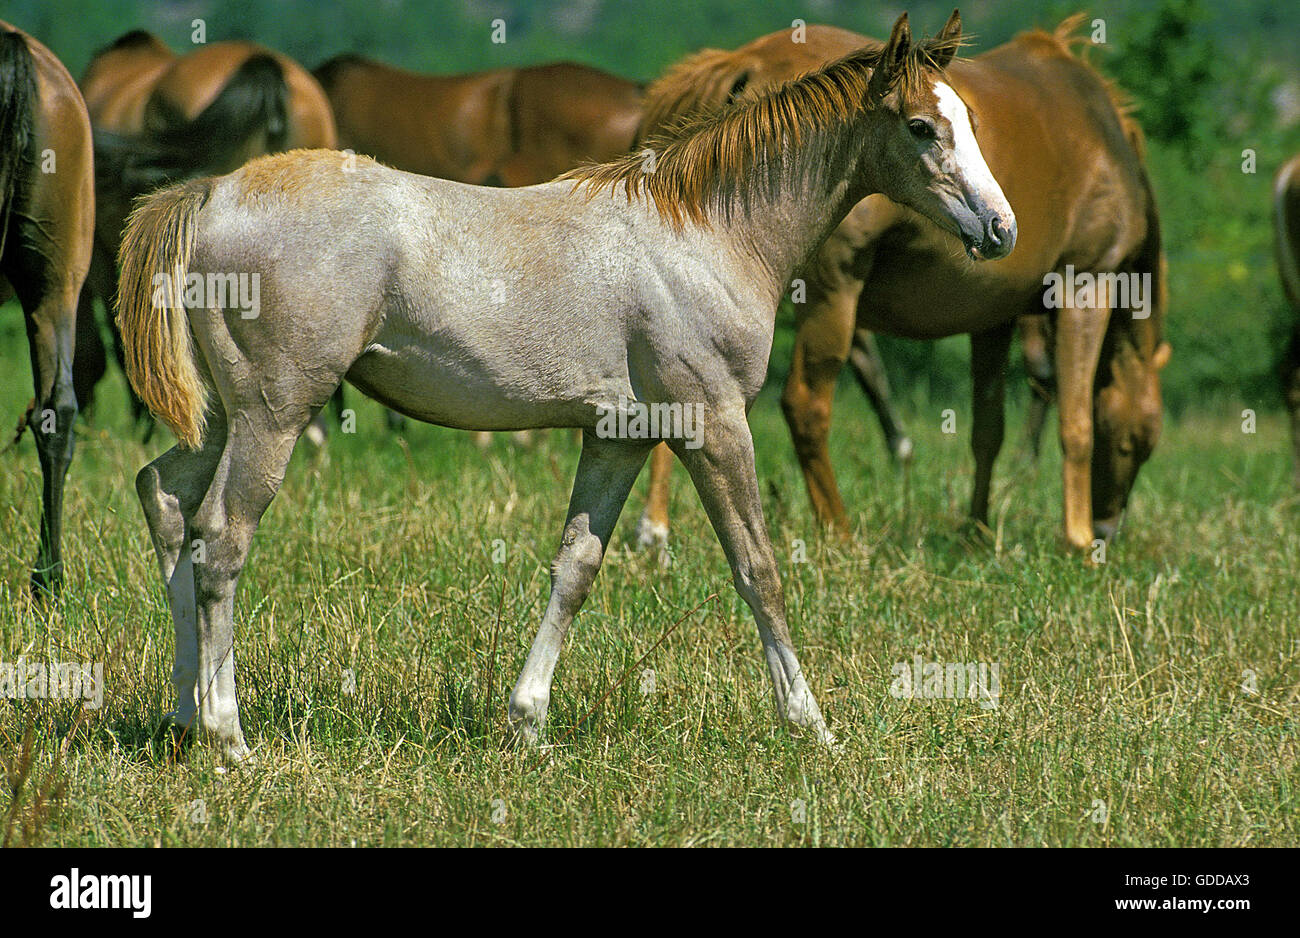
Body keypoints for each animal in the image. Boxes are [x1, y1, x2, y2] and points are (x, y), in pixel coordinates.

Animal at [114, 12, 1013, 760]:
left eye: (971, 119)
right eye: (921, 125)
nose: (1000, 228)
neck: (707, 230)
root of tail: (210, 193)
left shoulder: (619, 438)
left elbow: (576, 566)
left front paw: (528, 723)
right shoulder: (715, 425)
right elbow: (758, 568)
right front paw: (812, 726)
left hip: (222, 420)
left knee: (166, 502)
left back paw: (183, 716)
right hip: (274, 414)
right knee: (221, 542)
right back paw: (229, 738)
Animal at [636, 16, 1170, 554]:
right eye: (1134, 444)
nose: (1108, 528)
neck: (1104, 139)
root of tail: (744, 60)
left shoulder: (993, 320)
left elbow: (988, 431)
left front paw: (976, 531)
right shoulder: (1087, 283)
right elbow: (1076, 423)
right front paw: (1078, 542)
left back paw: (656, 528)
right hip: (832, 296)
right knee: (805, 406)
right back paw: (838, 533)